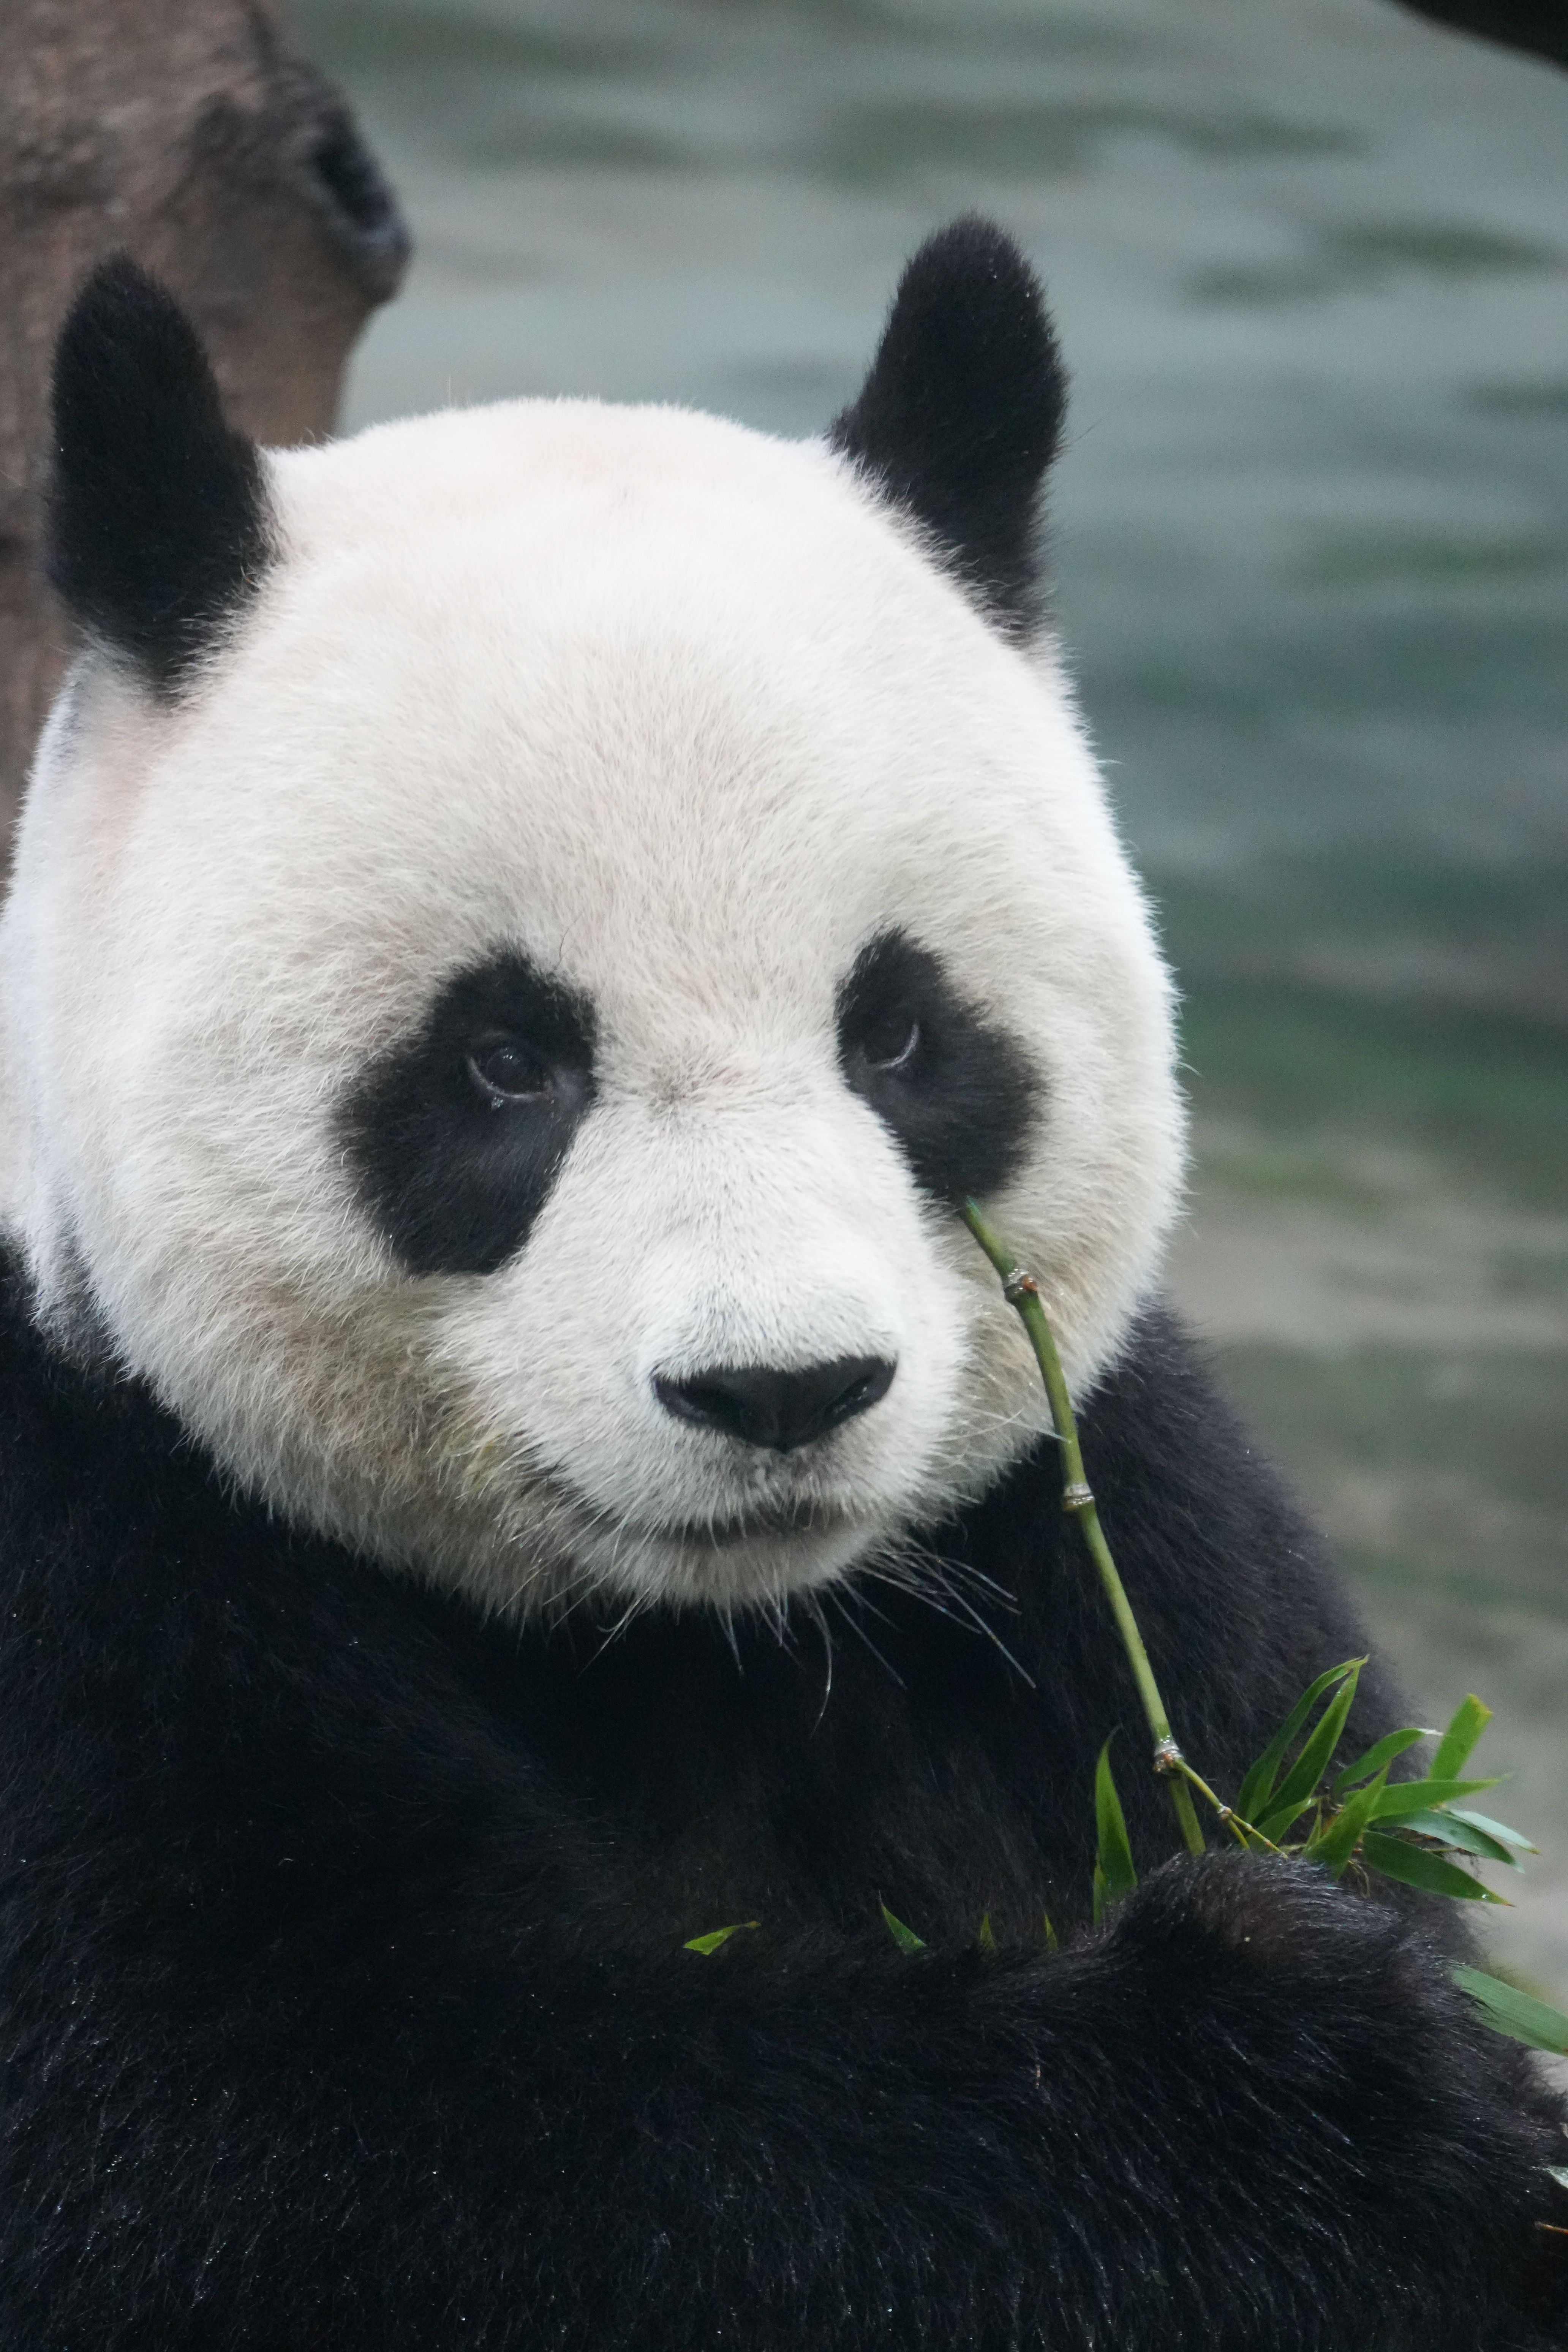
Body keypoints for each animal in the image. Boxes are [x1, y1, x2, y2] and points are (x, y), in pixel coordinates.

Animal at [0, 220, 1562, 2352]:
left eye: (899, 1032)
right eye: (501, 1059)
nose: (782, 1389)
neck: (697, 1640)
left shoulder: (1110, 1563)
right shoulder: (90, 1570)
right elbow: (336, 2165)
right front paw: (1308, 2084)